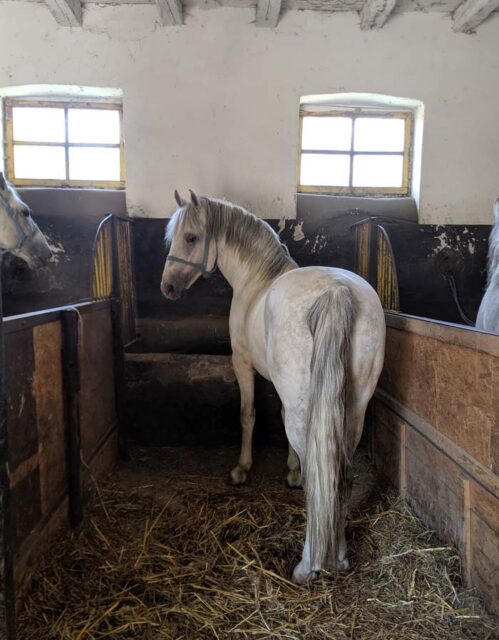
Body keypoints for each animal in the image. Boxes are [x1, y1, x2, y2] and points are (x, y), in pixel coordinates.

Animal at [161, 190, 385, 583]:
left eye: (190, 237)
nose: (167, 287)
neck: (257, 281)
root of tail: (337, 291)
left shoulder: (242, 364)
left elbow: (248, 414)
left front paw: (242, 470)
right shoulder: (287, 391)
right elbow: (278, 418)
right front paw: (291, 471)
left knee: (319, 479)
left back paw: (308, 565)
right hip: (353, 410)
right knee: (339, 476)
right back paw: (339, 557)